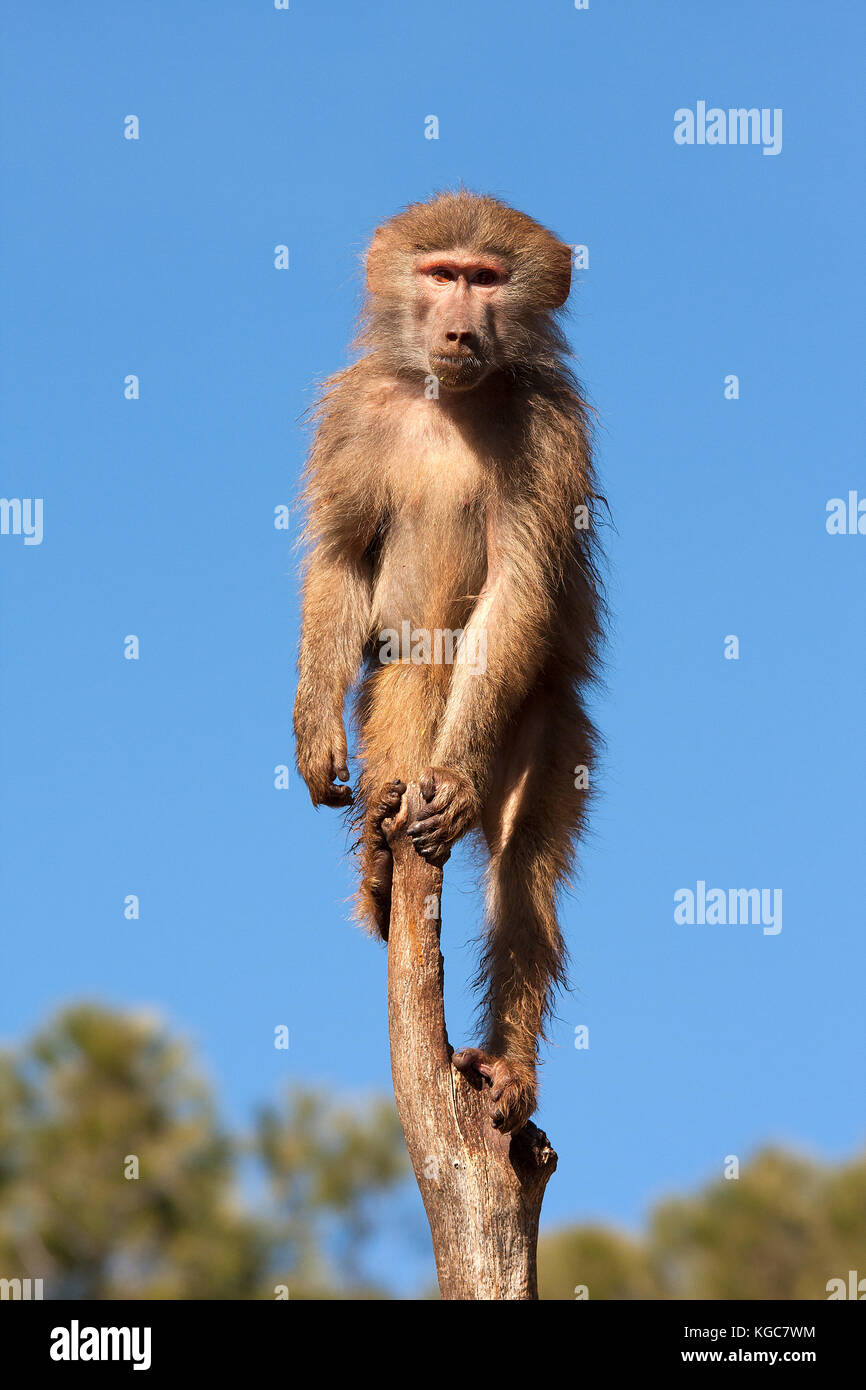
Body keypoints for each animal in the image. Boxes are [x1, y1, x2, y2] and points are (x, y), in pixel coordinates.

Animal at [293, 190, 604, 1134]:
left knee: (521, 875)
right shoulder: (353, 414)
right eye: (441, 276)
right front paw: (313, 731)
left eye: (487, 279)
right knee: (411, 673)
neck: (449, 397)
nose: (462, 330)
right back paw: (378, 868)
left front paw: (457, 787)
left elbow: (520, 586)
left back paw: (507, 1066)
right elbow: (344, 558)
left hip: (546, 726)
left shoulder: (551, 431)